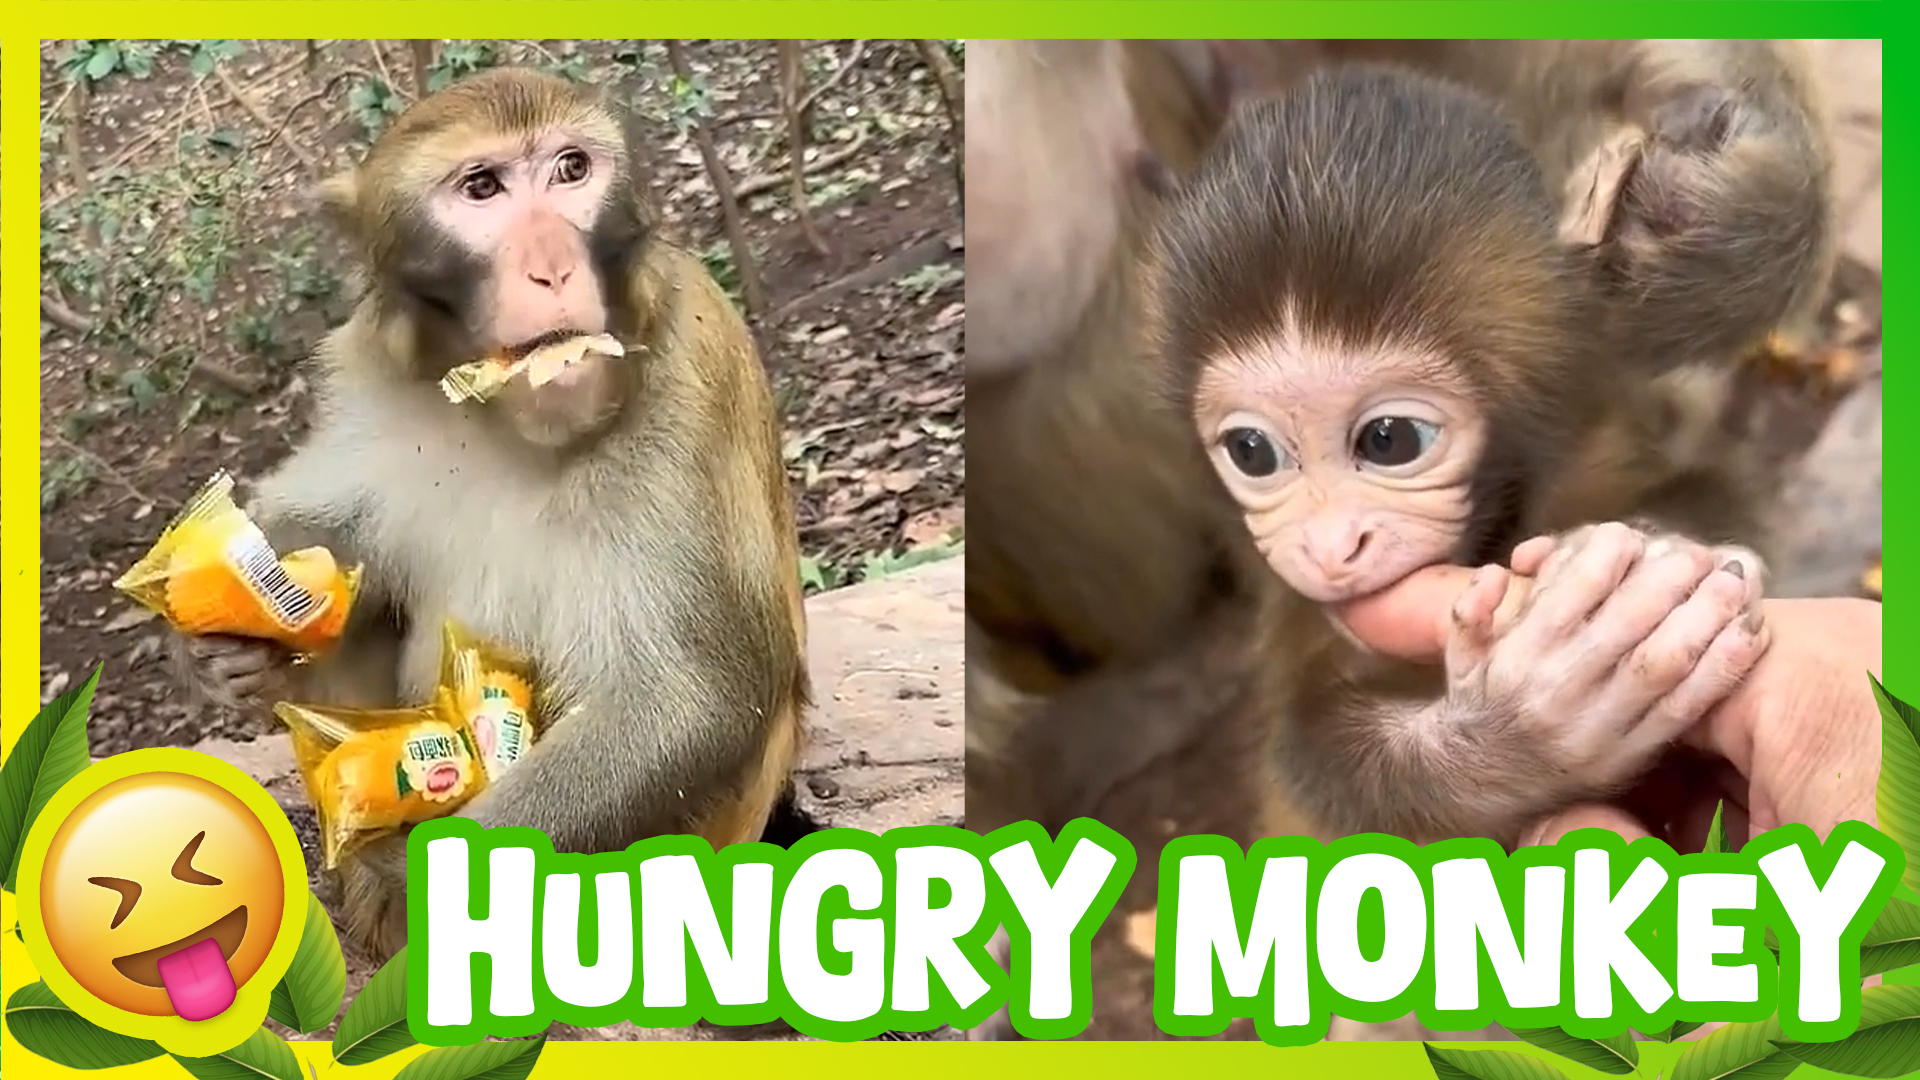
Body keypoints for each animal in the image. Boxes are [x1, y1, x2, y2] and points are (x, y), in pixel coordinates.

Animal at [174, 68, 811, 960]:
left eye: (572, 170)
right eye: (482, 187)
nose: (551, 269)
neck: (512, 418)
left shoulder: (692, 366)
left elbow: (690, 701)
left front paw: (425, 878)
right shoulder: (367, 371)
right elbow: (332, 538)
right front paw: (223, 652)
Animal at [1148, 64, 1774, 846]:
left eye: (1389, 440)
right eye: (1251, 451)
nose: (1328, 546)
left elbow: (1714, 481)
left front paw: (1664, 542)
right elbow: (1305, 758)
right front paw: (1529, 725)